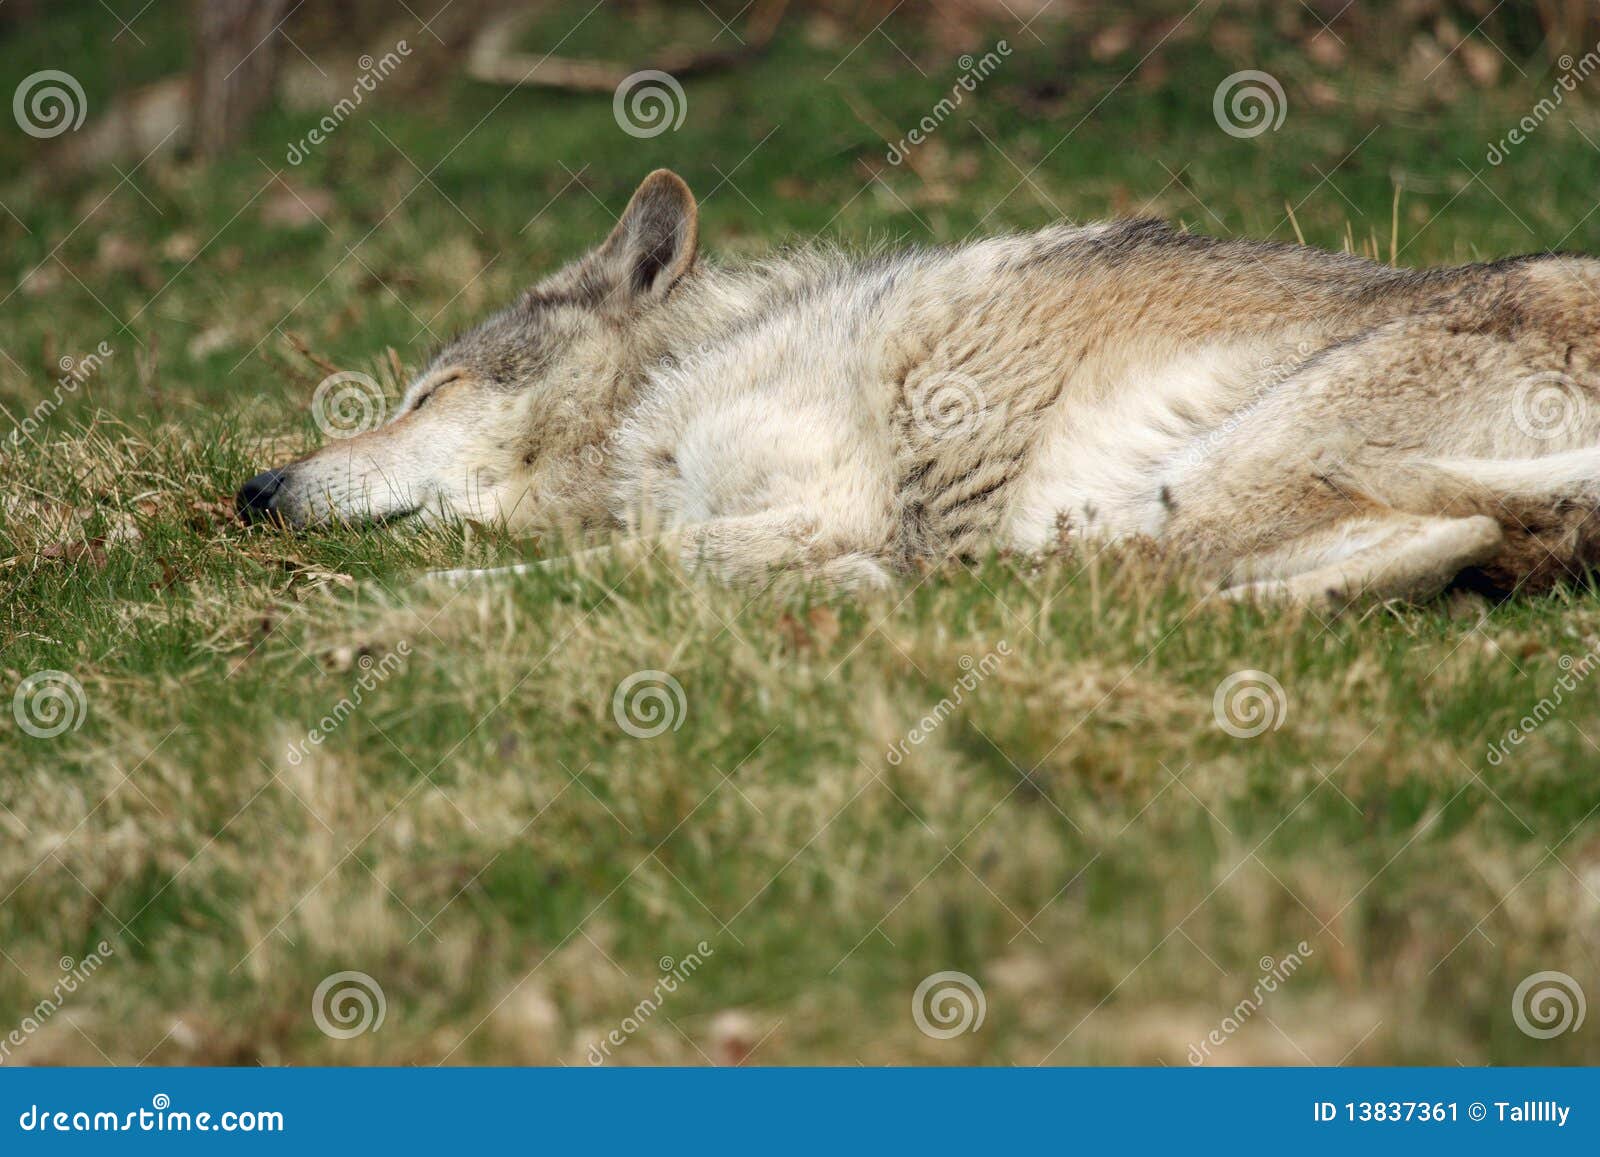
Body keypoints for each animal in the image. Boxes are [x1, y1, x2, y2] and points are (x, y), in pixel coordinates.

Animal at [237, 169, 1600, 606]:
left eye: (429, 393)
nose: (254, 486)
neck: (662, 384)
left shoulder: (809, 501)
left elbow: (605, 568)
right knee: (1443, 540)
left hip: (1216, 465)